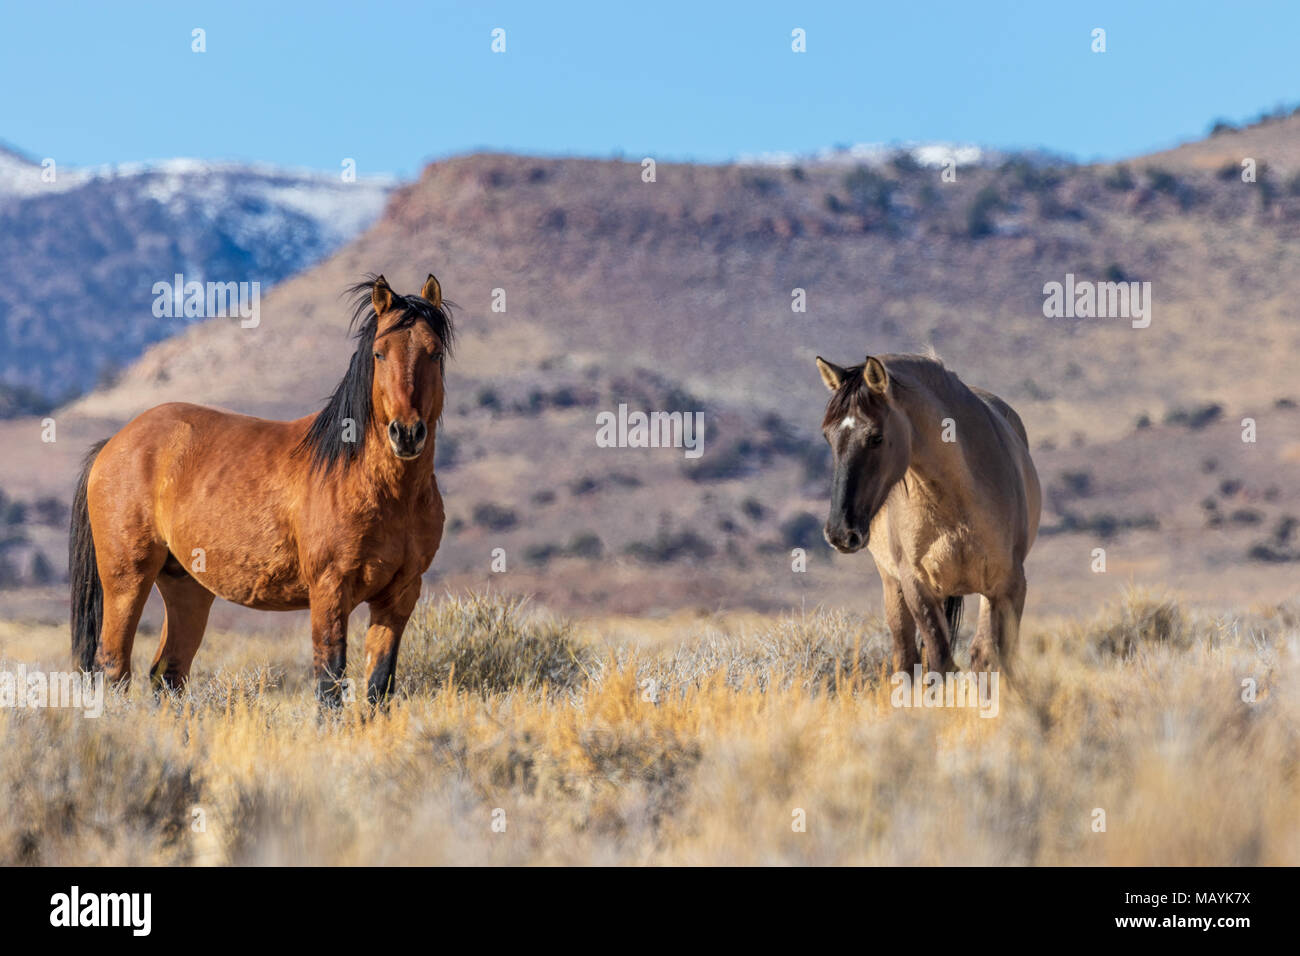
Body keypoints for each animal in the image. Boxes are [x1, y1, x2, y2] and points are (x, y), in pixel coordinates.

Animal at [70, 274, 454, 706]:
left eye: (434, 353)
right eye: (379, 353)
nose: (406, 433)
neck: (377, 488)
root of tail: (115, 443)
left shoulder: (399, 596)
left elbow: (378, 687)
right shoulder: (330, 590)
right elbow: (329, 684)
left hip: (186, 585)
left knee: (167, 674)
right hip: (126, 580)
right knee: (113, 668)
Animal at [814, 352, 1041, 676]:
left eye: (876, 437)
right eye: (828, 437)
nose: (840, 533)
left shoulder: (1010, 586)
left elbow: (998, 660)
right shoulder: (918, 587)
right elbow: (939, 661)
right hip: (893, 586)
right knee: (906, 656)